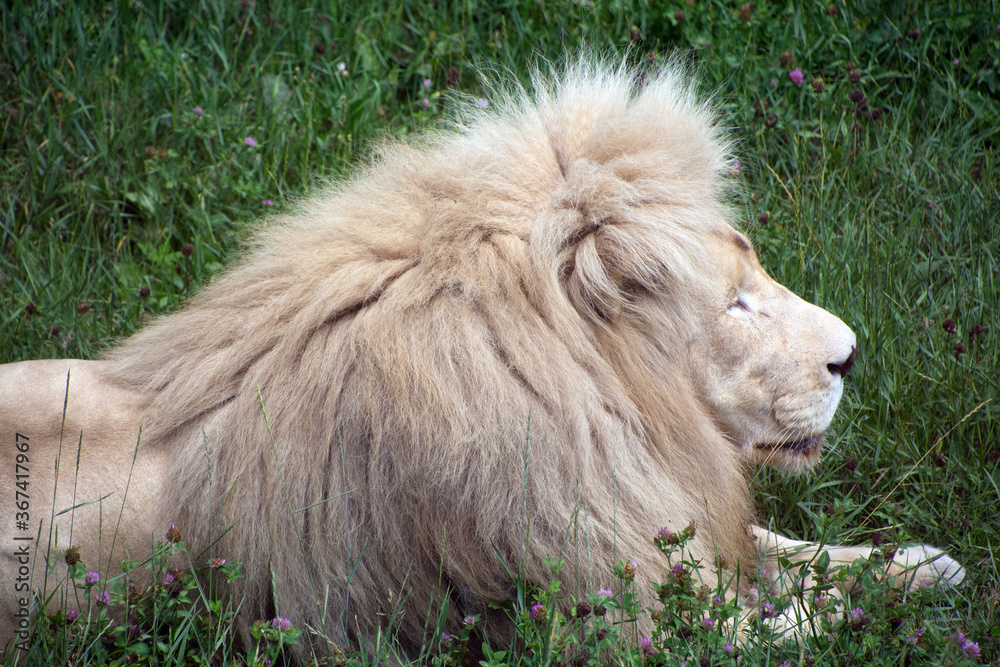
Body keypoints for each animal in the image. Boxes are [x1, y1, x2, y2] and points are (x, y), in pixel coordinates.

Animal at [0, 61, 963, 658]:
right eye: (734, 301)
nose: (851, 356)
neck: (623, 401)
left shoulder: (647, 511)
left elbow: (788, 548)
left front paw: (922, 562)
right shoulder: (622, 611)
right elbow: (800, 619)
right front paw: (888, 605)